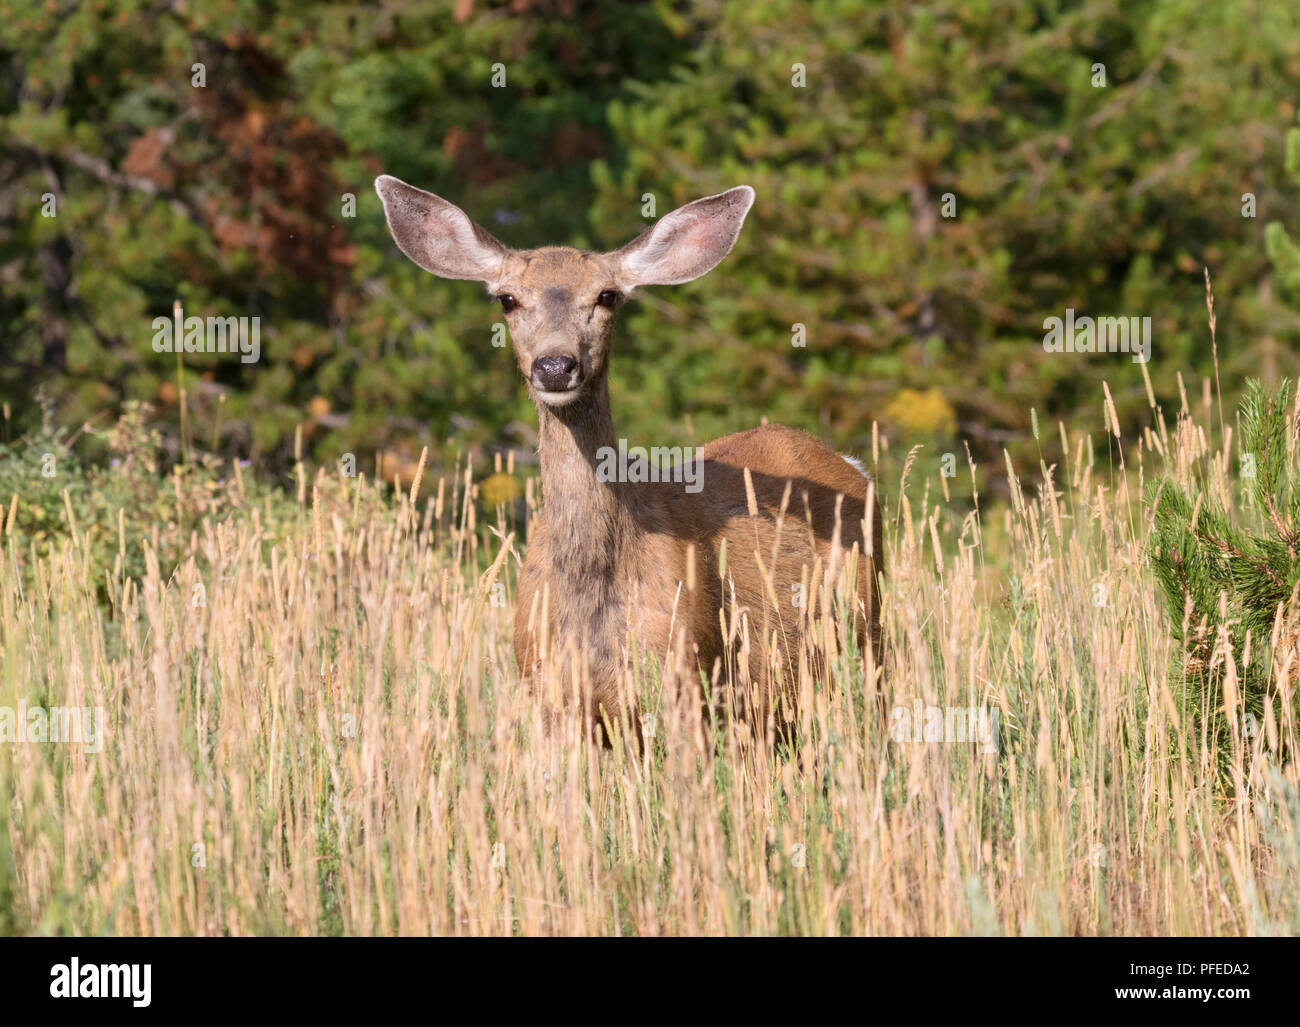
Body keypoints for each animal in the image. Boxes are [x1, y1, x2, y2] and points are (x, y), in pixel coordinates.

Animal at [376, 175, 883, 746]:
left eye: (607, 296)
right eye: (507, 298)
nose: (556, 365)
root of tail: (849, 463)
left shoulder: (683, 674)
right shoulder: (549, 694)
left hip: (866, 644)